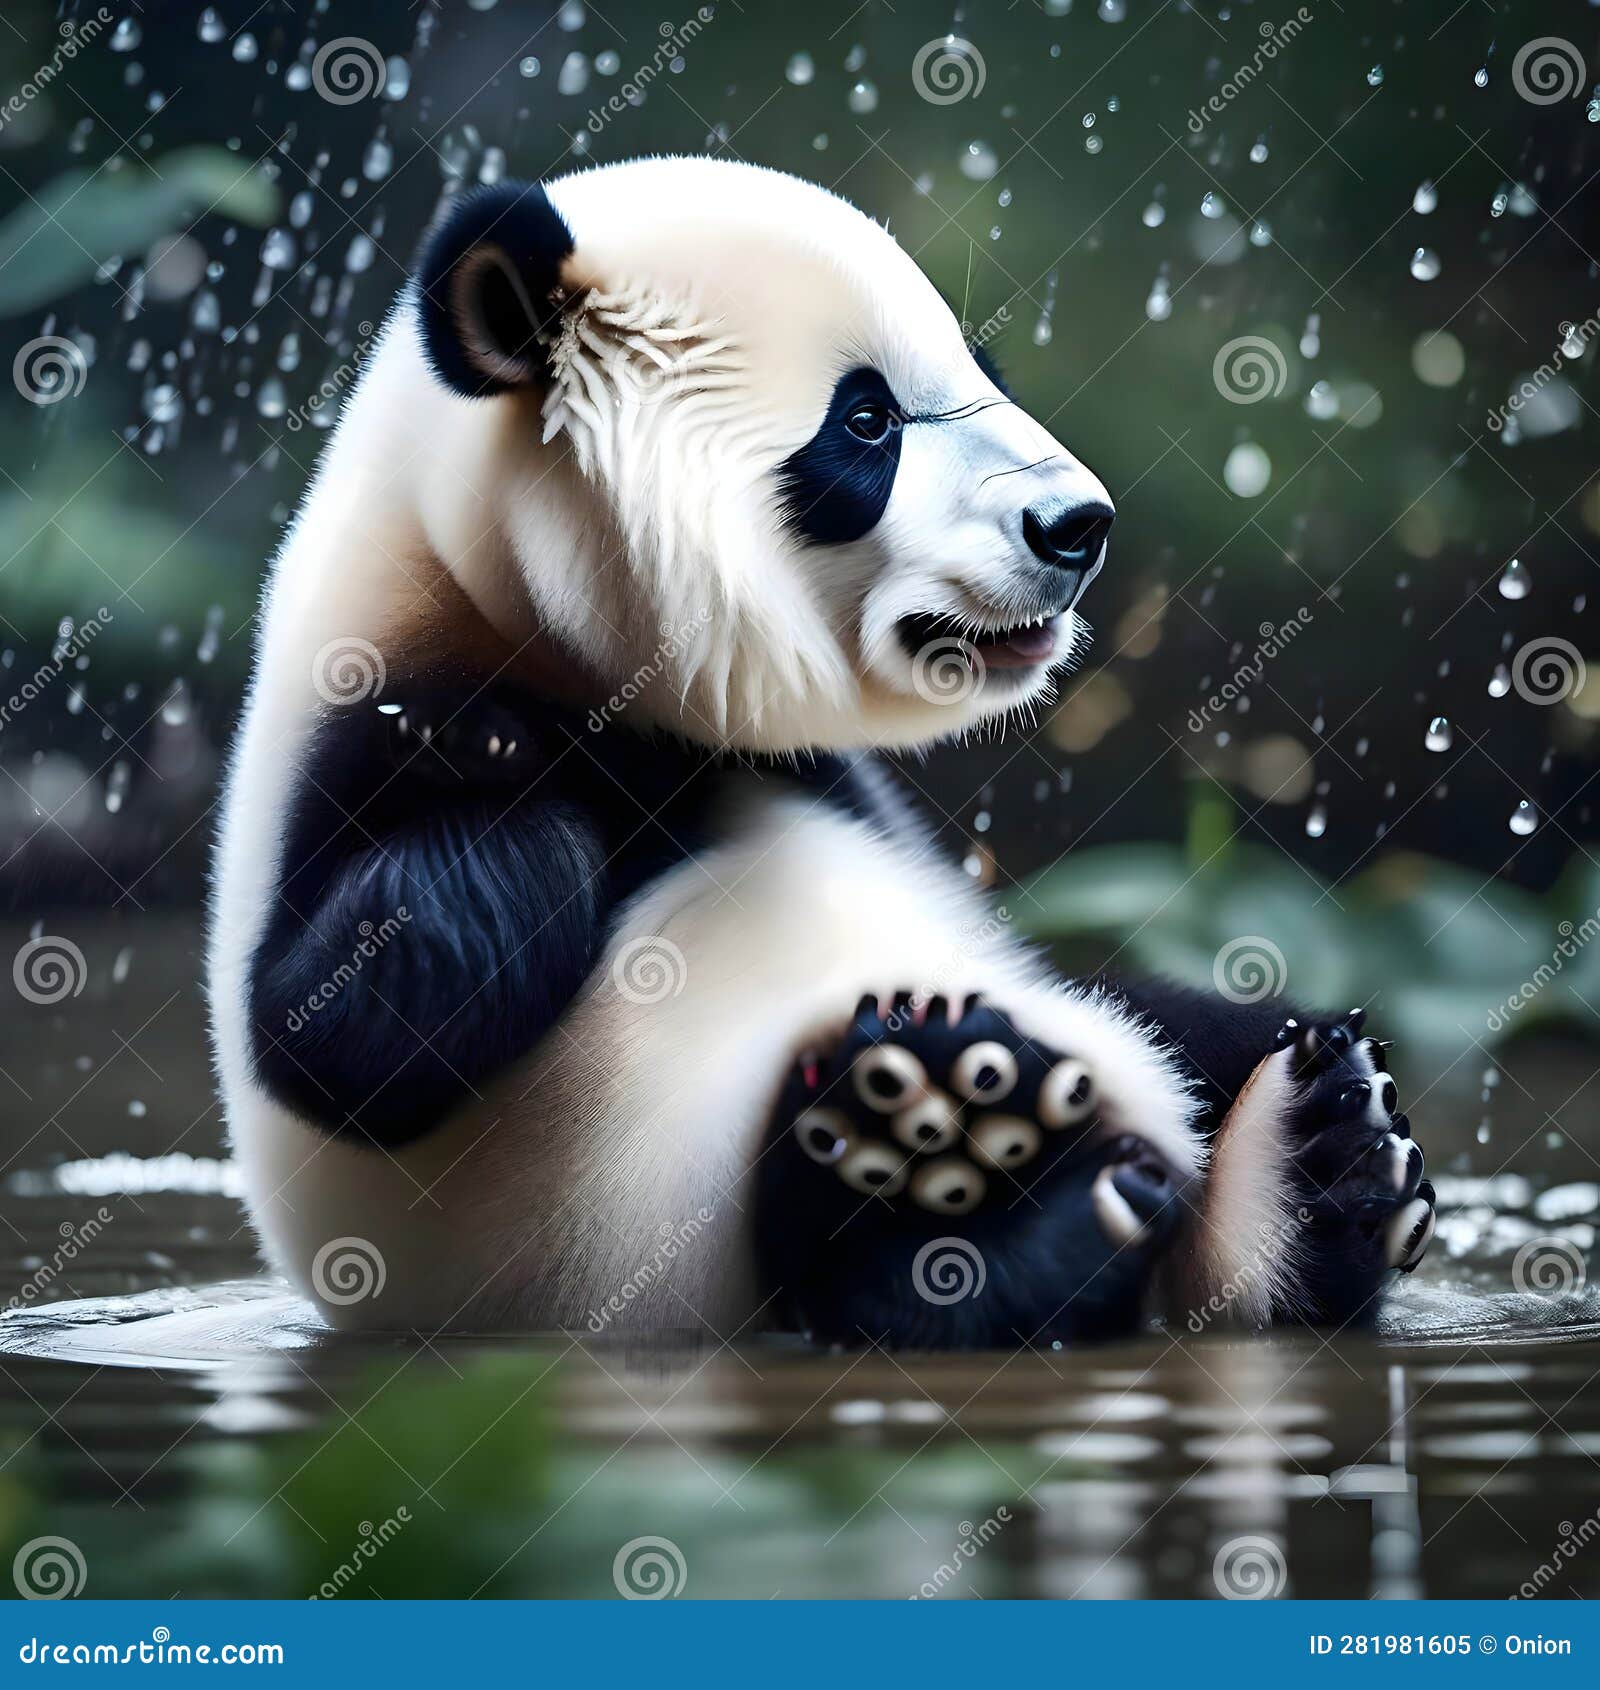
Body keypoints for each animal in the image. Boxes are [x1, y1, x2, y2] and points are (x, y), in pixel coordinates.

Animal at [208, 156, 1435, 1348]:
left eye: (981, 369)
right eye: (867, 423)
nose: (1075, 526)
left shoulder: (817, 777)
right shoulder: (376, 739)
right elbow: (341, 1036)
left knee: (1174, 1028)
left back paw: (1325, 1155)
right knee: (845, 1226)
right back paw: (990, 1164)